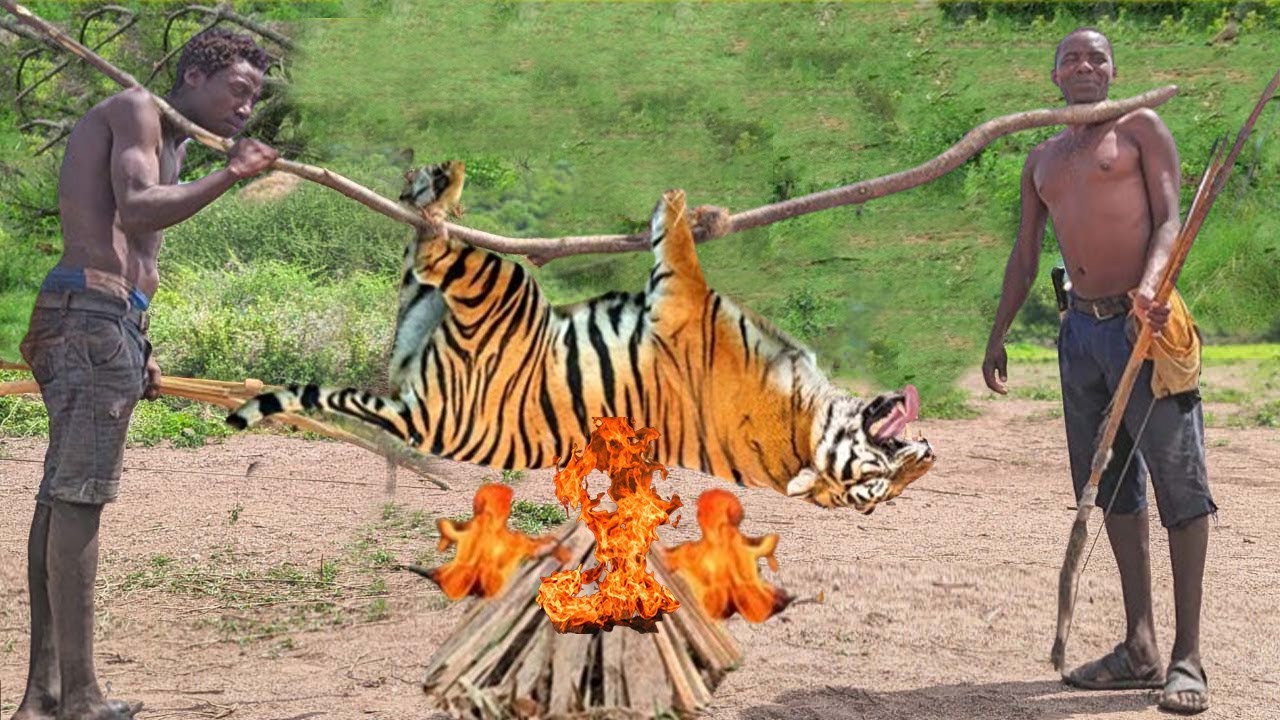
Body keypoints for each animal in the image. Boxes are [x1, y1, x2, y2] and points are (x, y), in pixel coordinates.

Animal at [227, 163, 936, 511]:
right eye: (886, 477)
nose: (924, 459)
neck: (801, 416)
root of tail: (422, 419)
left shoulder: (679, 300)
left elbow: (676, 250)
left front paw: (676, 206)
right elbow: (686, 242)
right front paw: (707, 213)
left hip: (499, 284)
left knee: (432, 253)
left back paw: (438, 195)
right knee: (415, 264)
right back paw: (431, 189)